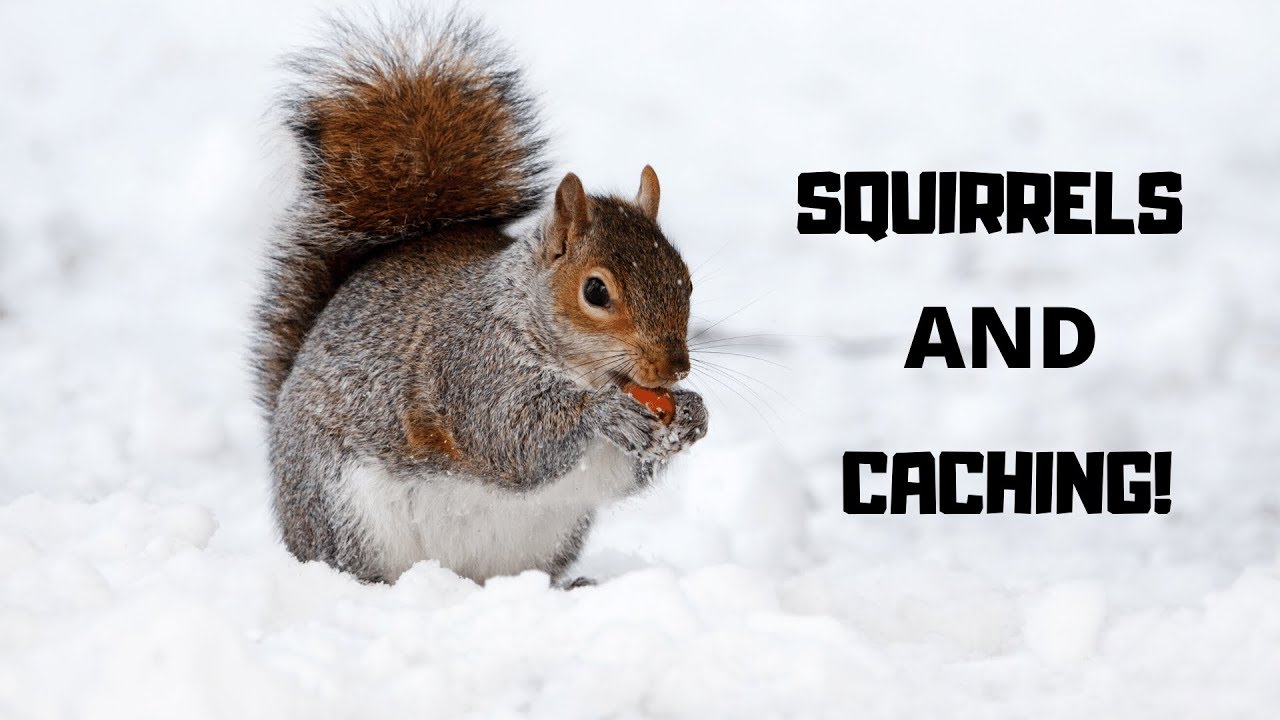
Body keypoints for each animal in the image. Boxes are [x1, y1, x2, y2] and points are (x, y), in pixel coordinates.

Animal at [252, 13, 708, 586]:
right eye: (595, 291)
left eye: (686, 280)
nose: (674, 369)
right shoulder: (470, 366)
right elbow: (510, 435)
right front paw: (605, 414)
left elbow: (626, 472)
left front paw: (692, 414)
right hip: (345, 514)